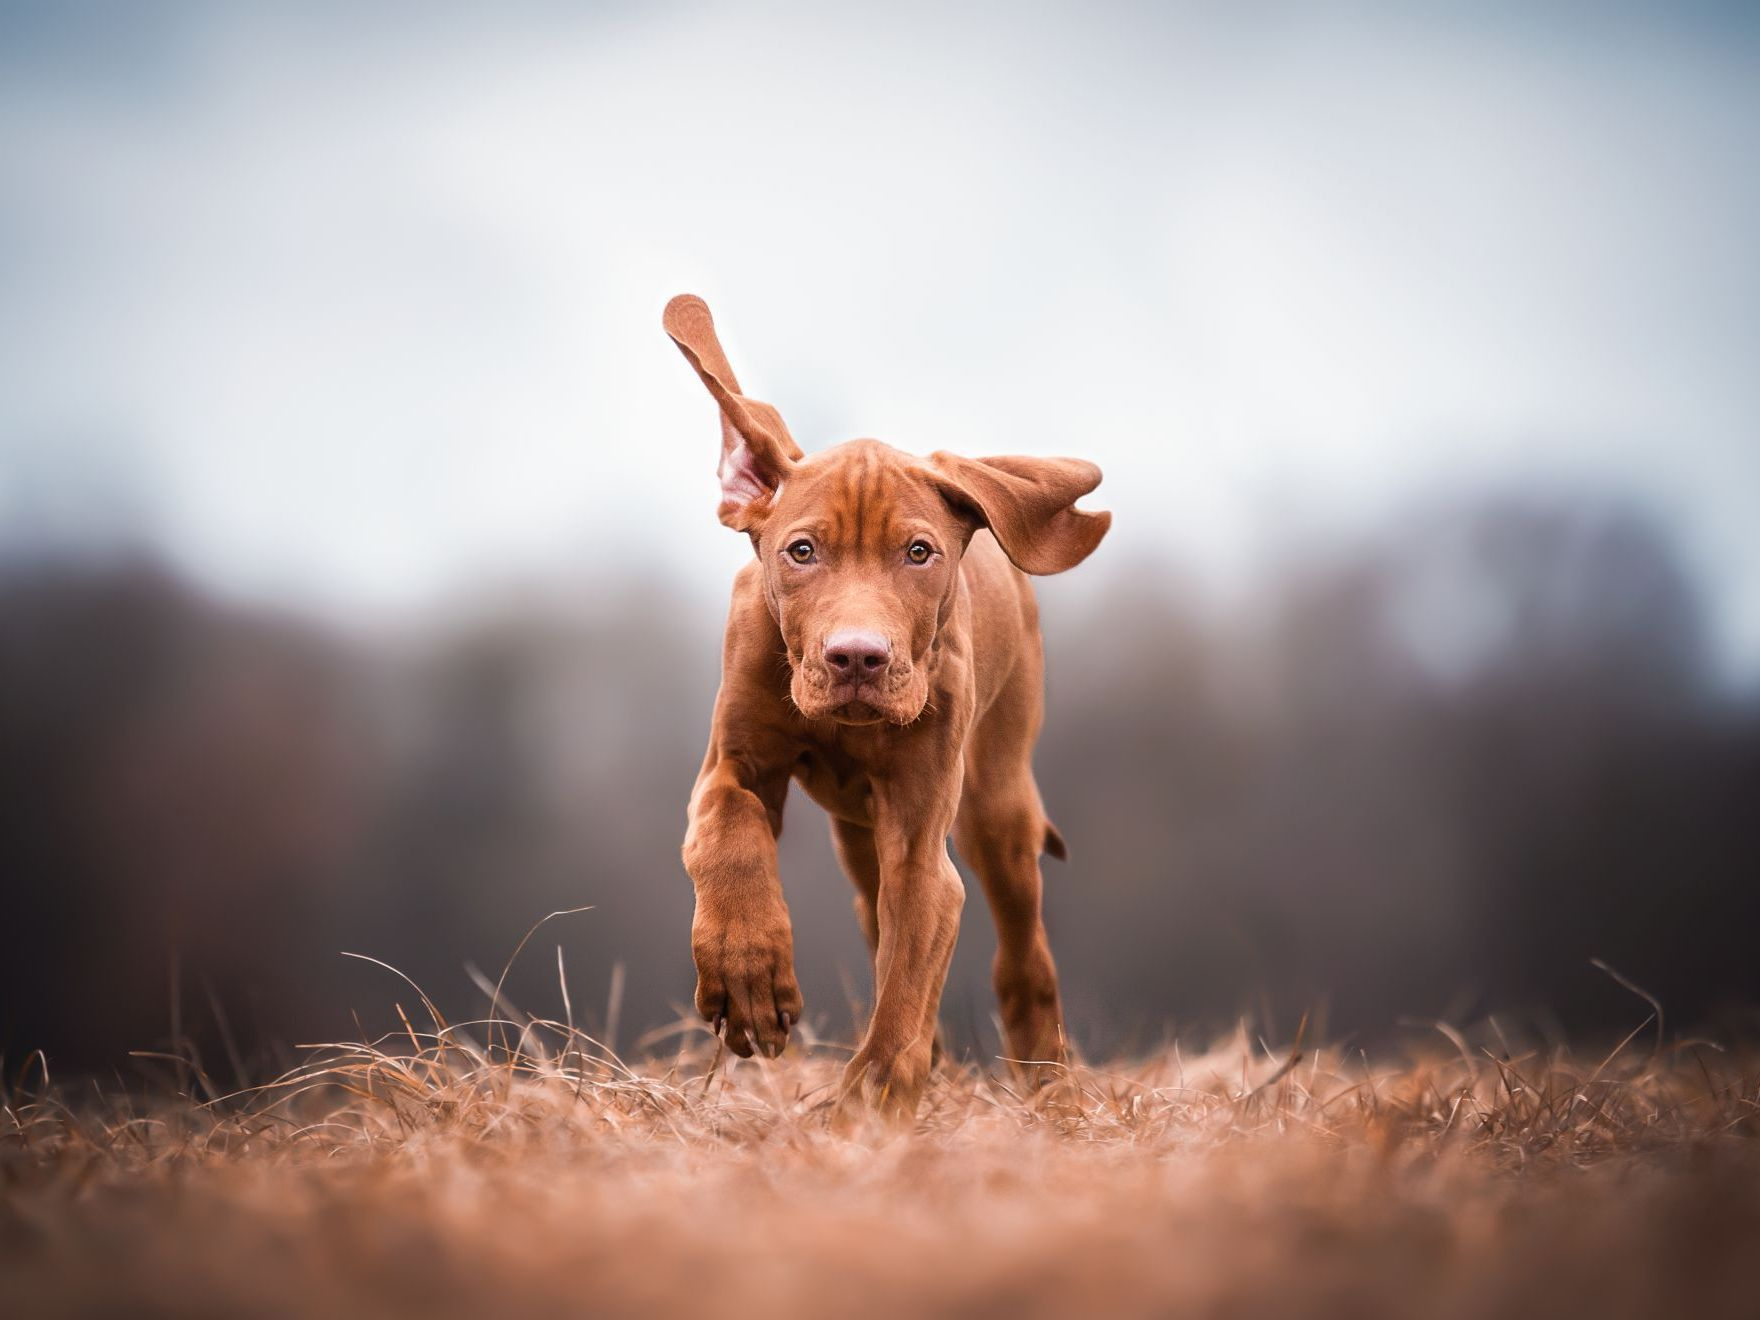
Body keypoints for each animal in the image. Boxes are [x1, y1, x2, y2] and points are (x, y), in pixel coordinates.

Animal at [665, 297, 1105, 1119]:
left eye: (919, 553)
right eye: (801, 551)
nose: (857, 659)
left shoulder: (921, 844)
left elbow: (906, 985)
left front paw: (865, 1107)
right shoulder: (733, 761)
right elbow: (727, 829)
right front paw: (747, 973)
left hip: (997, 802)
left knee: (1021, 952)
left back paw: (1048, 1083)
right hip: (858, 835)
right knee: (875, 917)